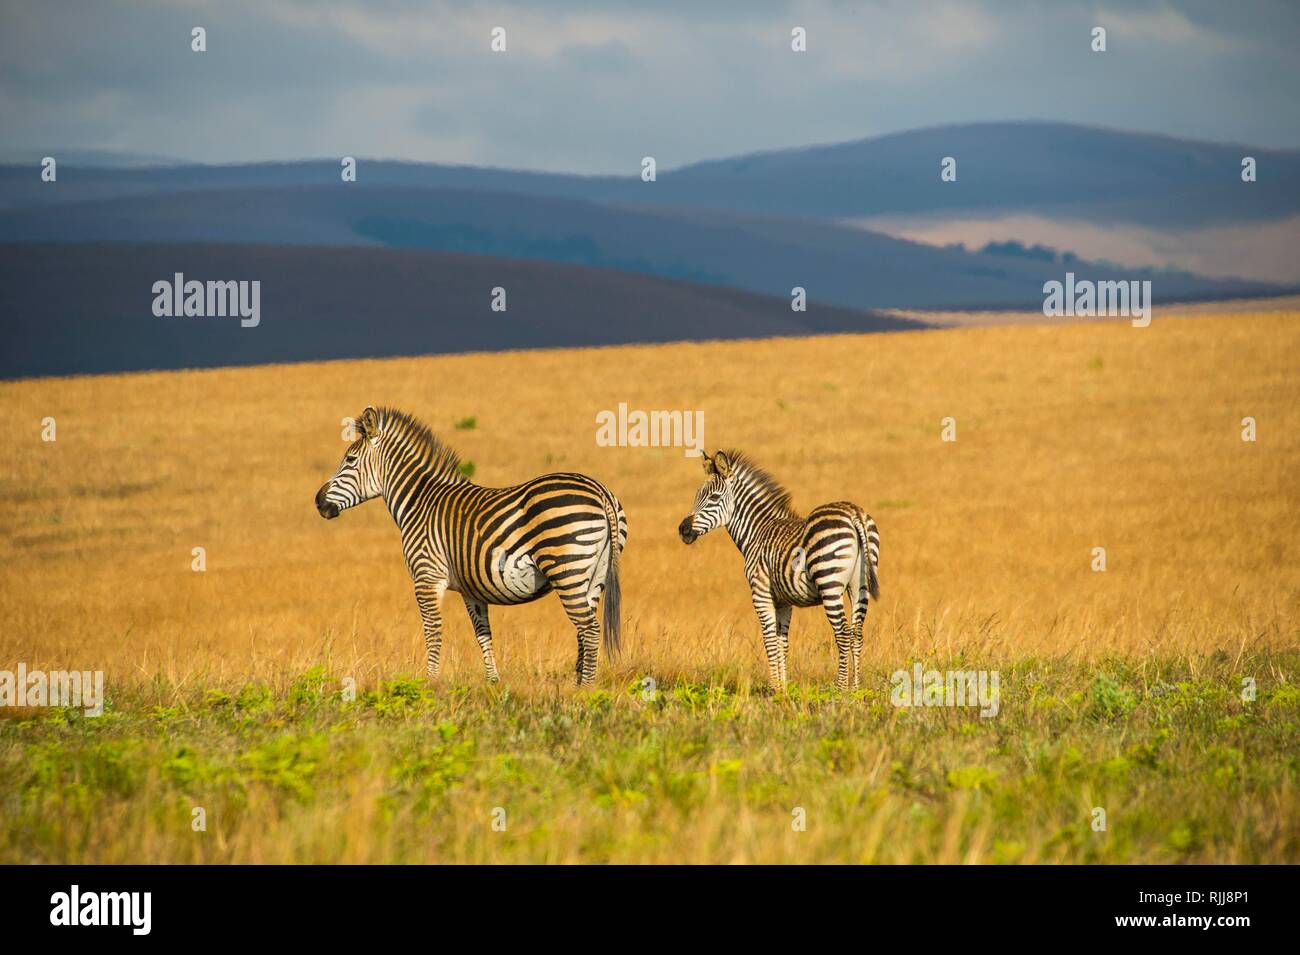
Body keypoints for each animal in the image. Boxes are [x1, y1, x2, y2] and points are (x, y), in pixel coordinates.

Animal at [315, 407, 628, 686]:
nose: (318, 502)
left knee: (589, 628)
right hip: (594, 575)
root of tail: (600, 490)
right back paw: (579, 683)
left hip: (566, 567)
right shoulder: (471, 588)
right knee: (584, 628)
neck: (420, 501)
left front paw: (430, 683)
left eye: (350, 459)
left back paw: (585, 689)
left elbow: (432, 631)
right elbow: (482, 633)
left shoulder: (426, 577)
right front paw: (493, 682)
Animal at [677, 450, 879, 691]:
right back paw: (856, 689)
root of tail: (853, 514)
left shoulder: (760, 593)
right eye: (697, 496)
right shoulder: (784, 600)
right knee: (857, 632)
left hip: (829, 581)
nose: (682, 530)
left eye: (714, 498)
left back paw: (840, 688)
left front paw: (774, 687)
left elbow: (769, 639)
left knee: (842, 632)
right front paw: (784, 688)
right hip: (860, 585)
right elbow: (782, 639)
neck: (757, 532)